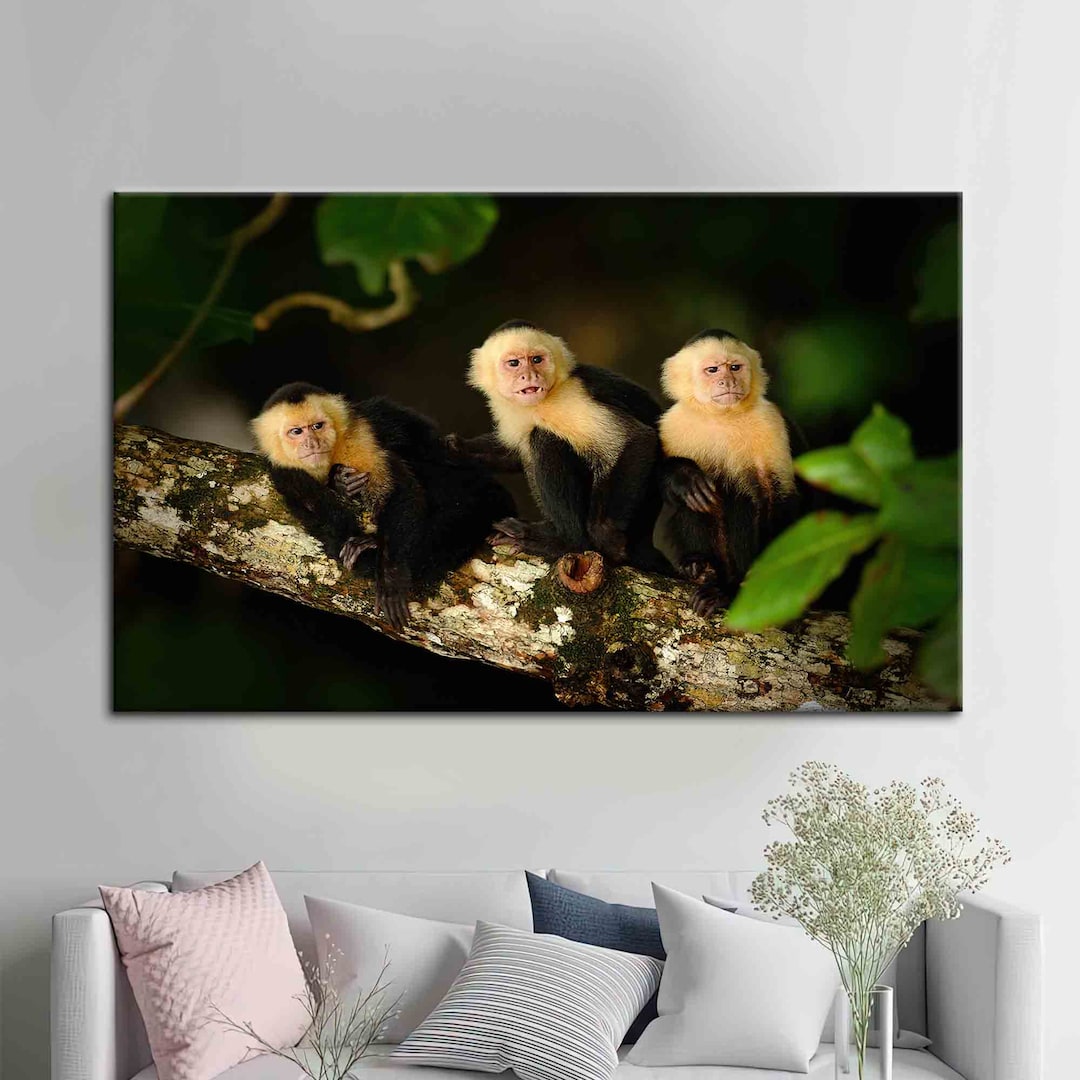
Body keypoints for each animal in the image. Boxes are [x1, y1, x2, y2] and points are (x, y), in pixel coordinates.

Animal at [251, 382, 515, 630]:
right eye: (296, 432)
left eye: (318, 426)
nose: (312, 443)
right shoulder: (281, 469)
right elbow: (315, 509)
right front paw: (340, 484)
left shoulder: (358, 436)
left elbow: (399, 489)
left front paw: (390, 576)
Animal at [450, 320, 668, 571]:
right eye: (514, 363)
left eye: (537, 359)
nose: (529, 376)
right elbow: (511, 453)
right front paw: (457, 447)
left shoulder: (568, 397)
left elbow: (638, 438)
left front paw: (604, 535)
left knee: (543, 438)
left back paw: (565, 541)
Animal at [656, 328, 801, 616]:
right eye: (712, 370)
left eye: (735, 367)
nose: (727, 381)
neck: (721, 417)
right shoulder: (672, 424)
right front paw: (683, 477)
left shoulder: (770, 422)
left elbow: (775, 498)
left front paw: (743, 589)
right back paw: (698, 563)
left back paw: (725, 588)